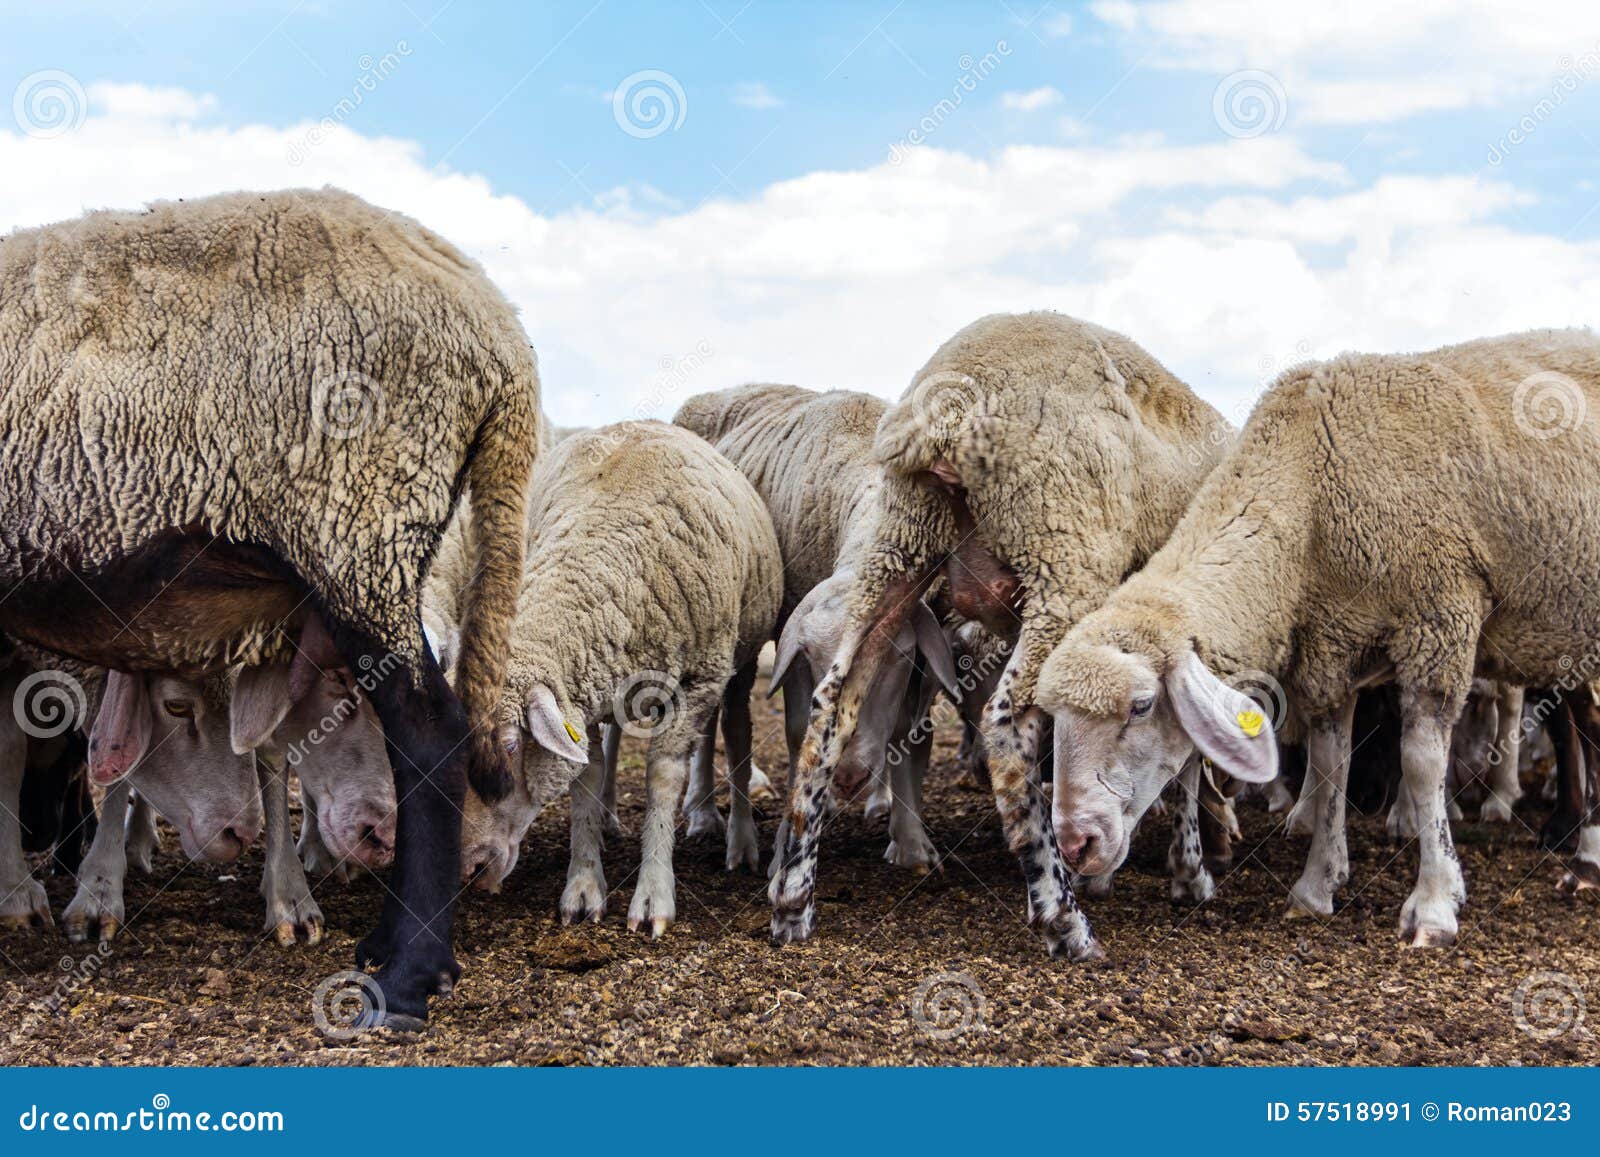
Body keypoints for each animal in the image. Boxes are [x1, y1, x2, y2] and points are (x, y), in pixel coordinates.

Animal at [458, 421, 782, 935]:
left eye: (510, 745)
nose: (469, 867)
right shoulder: (577, 690)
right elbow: (586, 775)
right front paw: (584, 886)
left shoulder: (698, 681)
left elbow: (663, 778)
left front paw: (653, 894)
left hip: (738, 657)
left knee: (733, 730)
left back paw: (739, 838)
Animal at [764, 313, 1232, 956]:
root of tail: (945, 406)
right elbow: (1183, 760)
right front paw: (1188, 870)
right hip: (1062, 558)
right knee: (1008, 725)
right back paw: (1062, 915)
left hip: (898, 549)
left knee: (828, 712)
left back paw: (792, 900)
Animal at [1037, 328, 1600, 949]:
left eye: (1140, 706)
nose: (1075, 844)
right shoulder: (1333, 643)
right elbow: (1331, 764)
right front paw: (1316, 886)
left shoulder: (1440, 612)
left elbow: (1421, 762)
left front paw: (1434, 903)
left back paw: (1585, 854)